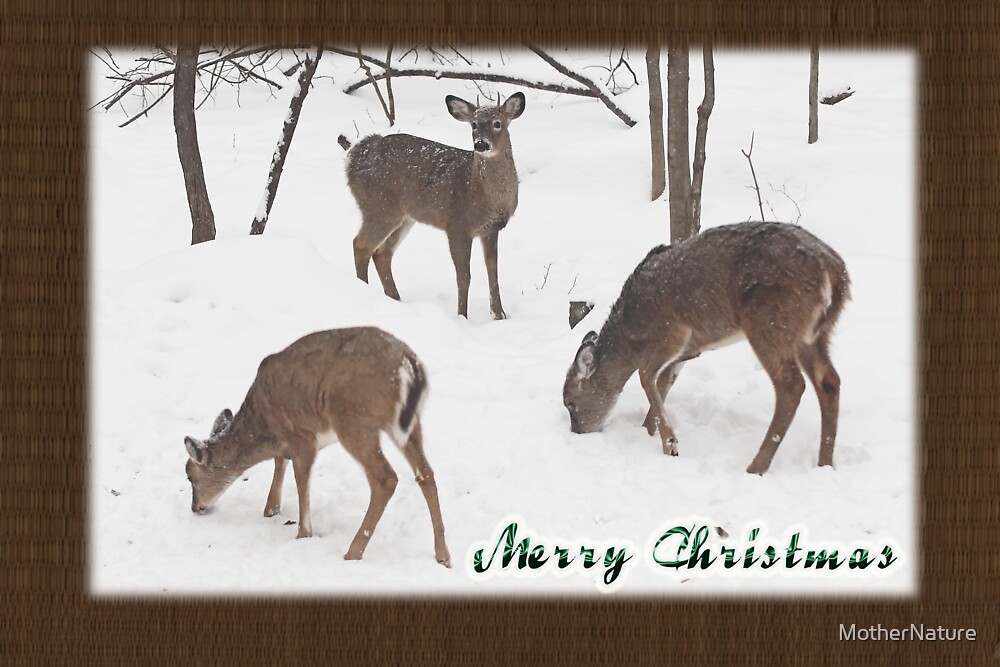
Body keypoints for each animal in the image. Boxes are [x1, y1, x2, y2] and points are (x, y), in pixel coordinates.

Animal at [183, 327, 451, 567]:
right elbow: (280, 463)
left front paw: (303, 534)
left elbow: (301, 482)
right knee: (426, 473)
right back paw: (443, 555)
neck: (264, 428)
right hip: (407, 424)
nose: (195, 507)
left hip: (353, 419)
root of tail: (409, 366)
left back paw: (352, 553)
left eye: (189, 476)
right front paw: (271, 509)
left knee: (386, 478)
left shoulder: (303, 438)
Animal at [338, 91, 526, 320]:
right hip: (379, 207)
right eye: (473, 124)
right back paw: (365, 291)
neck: (480, 193)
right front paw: (462, 316)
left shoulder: (491, 229)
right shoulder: (457, 226)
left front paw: (499, 315)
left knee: (382, 253)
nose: (481, 144)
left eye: (498, 123)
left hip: (404, 216)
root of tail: (353, 159)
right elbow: (464, 277)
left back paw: (396, 299)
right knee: (361, 245)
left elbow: (493, 272)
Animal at [562, 222, 851, 475]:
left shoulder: (672, 332)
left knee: (792, 384)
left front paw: (670, 444)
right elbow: (663, 383)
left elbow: (647, 378)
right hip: (814, 333)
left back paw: (755, 467)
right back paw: (824, 464)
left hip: (769, 320)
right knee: (829, 381)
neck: (630, 330)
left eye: (570, 403)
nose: (578, 432)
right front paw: (647, 430)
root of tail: (835, 273)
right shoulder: (686, 351)